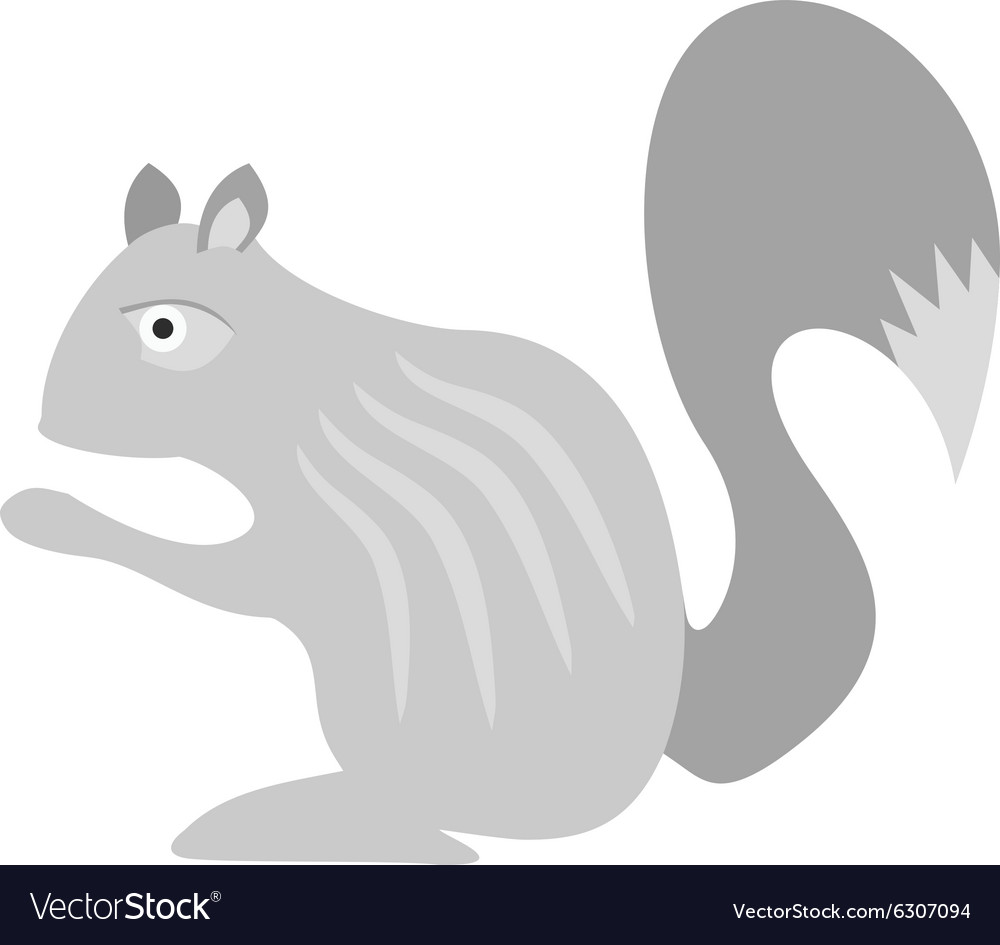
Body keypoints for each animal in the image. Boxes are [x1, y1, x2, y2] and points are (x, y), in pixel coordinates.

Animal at [2, 2, 997, 863]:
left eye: (164, 329)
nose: (46, 420)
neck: (292, 384)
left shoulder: (312, 535)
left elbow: (225, 574)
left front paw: (47, 513)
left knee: (448, 831)